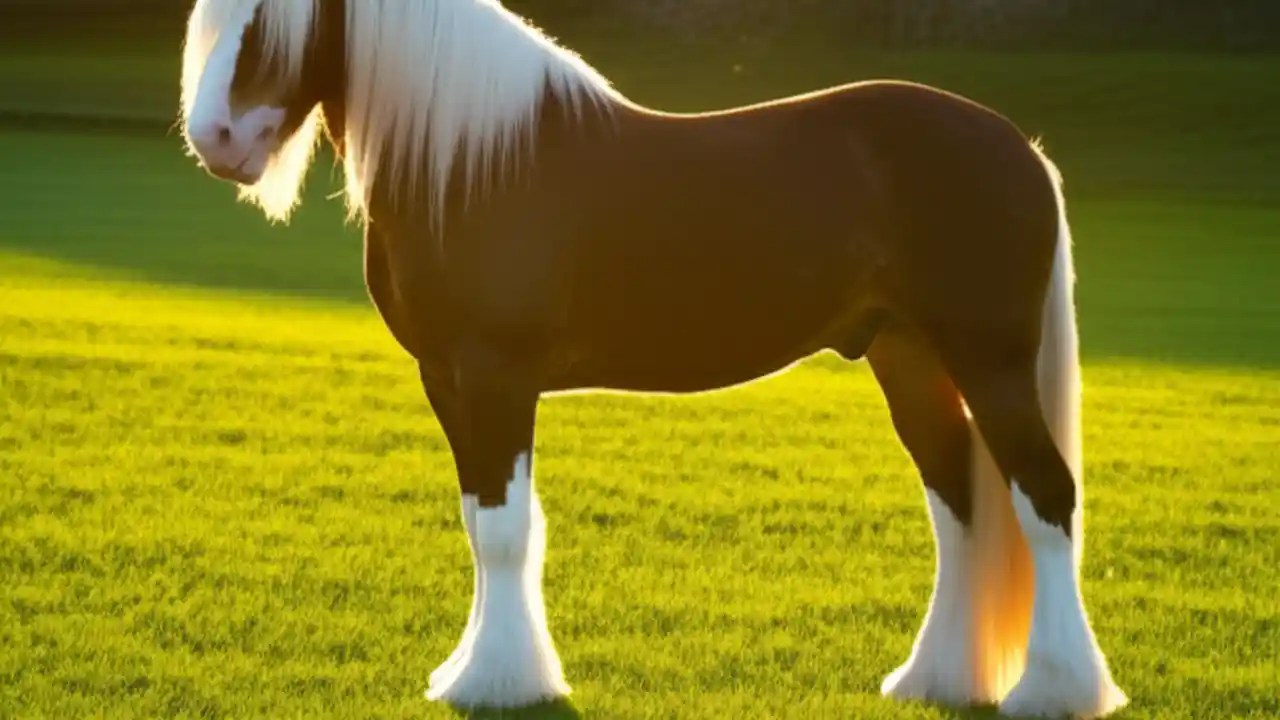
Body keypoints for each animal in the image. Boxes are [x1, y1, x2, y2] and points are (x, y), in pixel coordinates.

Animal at [178, 1, 1127, 716]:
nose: (215, 139)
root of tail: (1018, 148)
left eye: (271, 19)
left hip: (991, 363)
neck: (472, 161)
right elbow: (480, 525)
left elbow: (507, 530)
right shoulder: (445, 381)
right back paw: (935, 680)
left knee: (1044, 499)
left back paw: (1056, 690)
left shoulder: (495, 376)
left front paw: (501, 683)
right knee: (960, 502)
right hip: (909, 361)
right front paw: (470, 672)